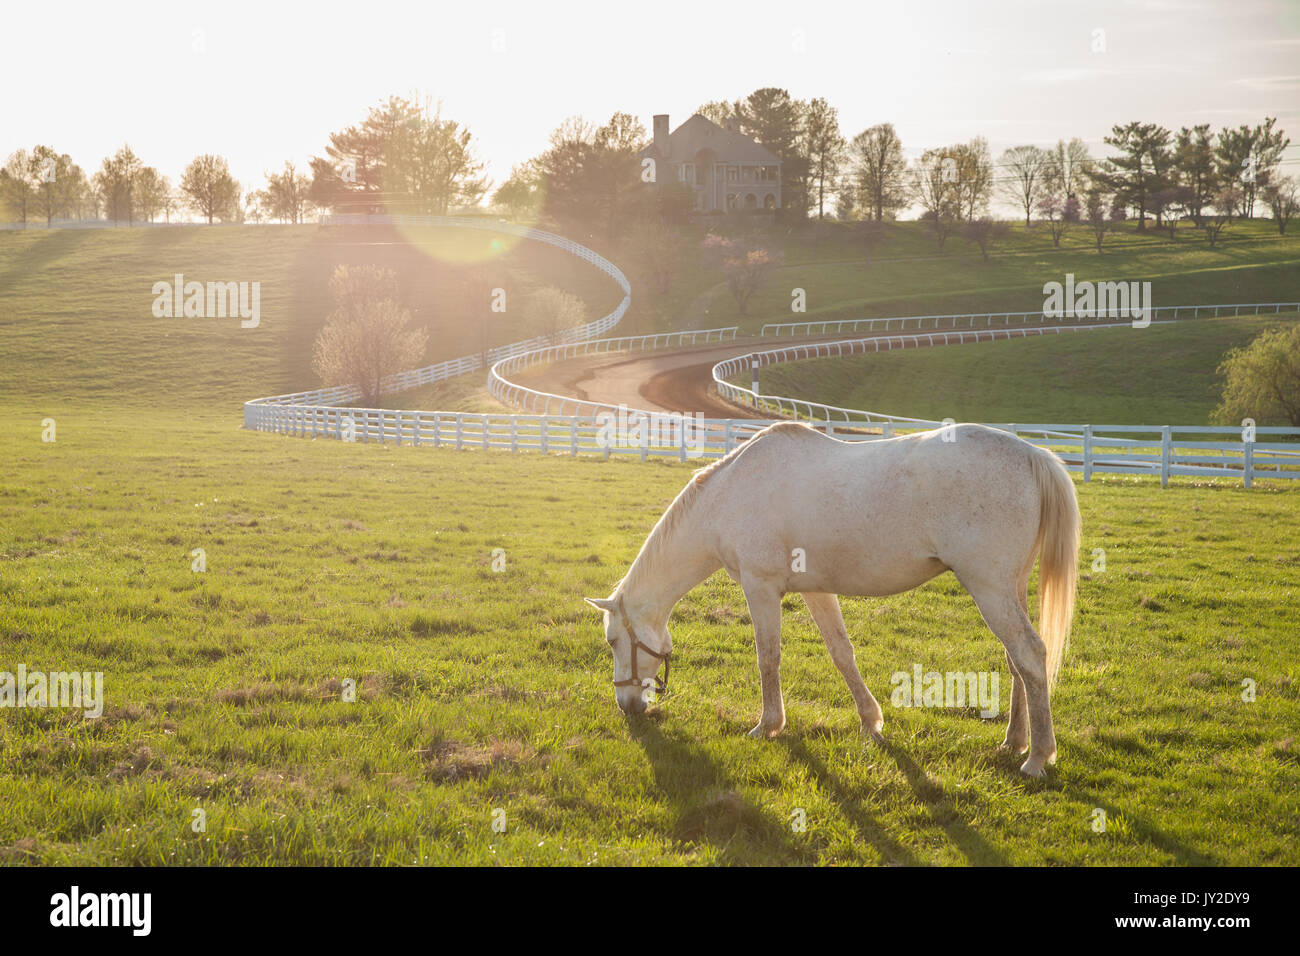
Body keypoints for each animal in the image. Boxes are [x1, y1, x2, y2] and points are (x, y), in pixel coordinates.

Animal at [585, 421, 1081, 777]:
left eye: (613, 641)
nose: (627, 706)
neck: (729, 496)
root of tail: (1033, 455)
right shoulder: (817, 590)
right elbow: (841, 653)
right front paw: (871, 722)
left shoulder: (760, 587)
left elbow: (768, 657)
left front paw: (768, 726)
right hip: (1008, 590)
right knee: (1017, 663)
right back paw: (1014, 741)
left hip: (990, 588)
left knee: (1030, 656)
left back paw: (1037, 757)